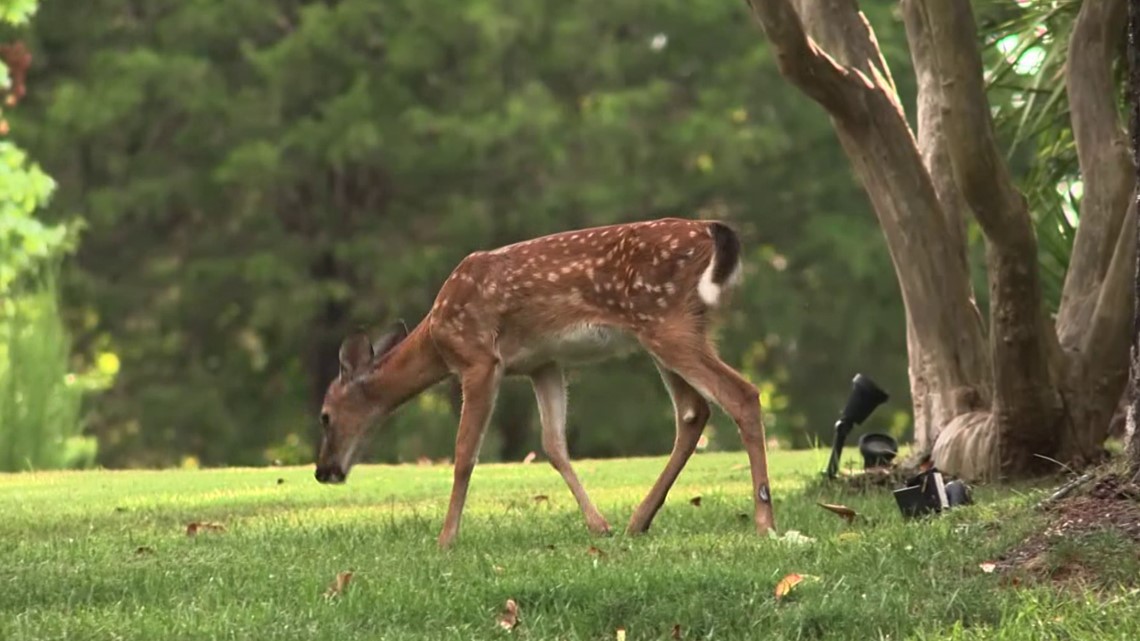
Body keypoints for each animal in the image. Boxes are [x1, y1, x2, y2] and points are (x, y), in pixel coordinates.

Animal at [314, 217, 775, 548]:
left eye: (324, 416)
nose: (322, 471)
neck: (437, 337)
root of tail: (710, 231)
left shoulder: (480, 360)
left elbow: (464, 453)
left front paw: (445, 539)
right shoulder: (544, 364)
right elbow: (554, 445)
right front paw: (599, 526)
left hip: (666, 321)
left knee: (742, 394)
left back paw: (764, 522)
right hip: (673, 327)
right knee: (694, 412)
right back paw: (638, 520)